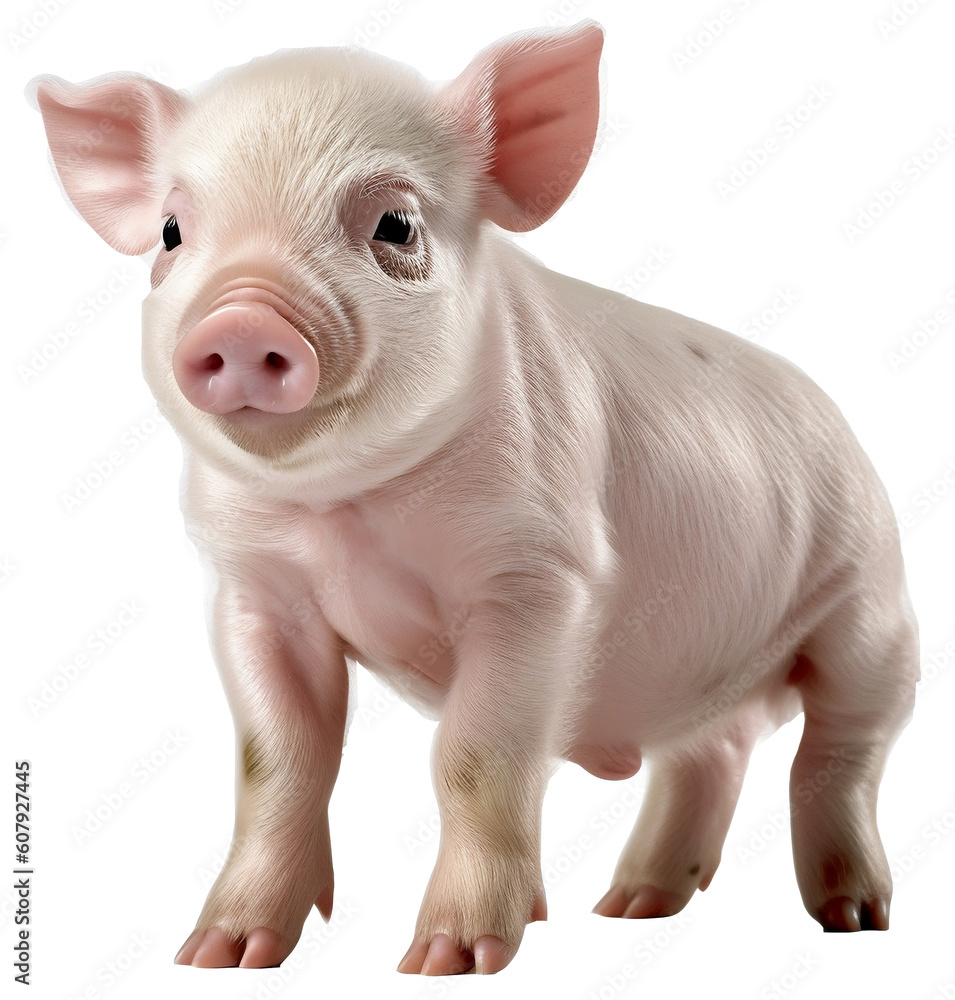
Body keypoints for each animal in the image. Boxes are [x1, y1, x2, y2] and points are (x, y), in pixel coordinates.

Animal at [30, 20, 918, 976]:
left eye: (396, 224)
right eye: (170, 231)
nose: (240, 321)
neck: (347, 509)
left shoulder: (538, 576)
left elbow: (473, 755)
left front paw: (449, 960)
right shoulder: (252, 591)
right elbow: (276, 760)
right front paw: (220, 954)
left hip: (868, 606)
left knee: (839, 753)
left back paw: (853, 918)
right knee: (709, 755)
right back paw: (629, 907)